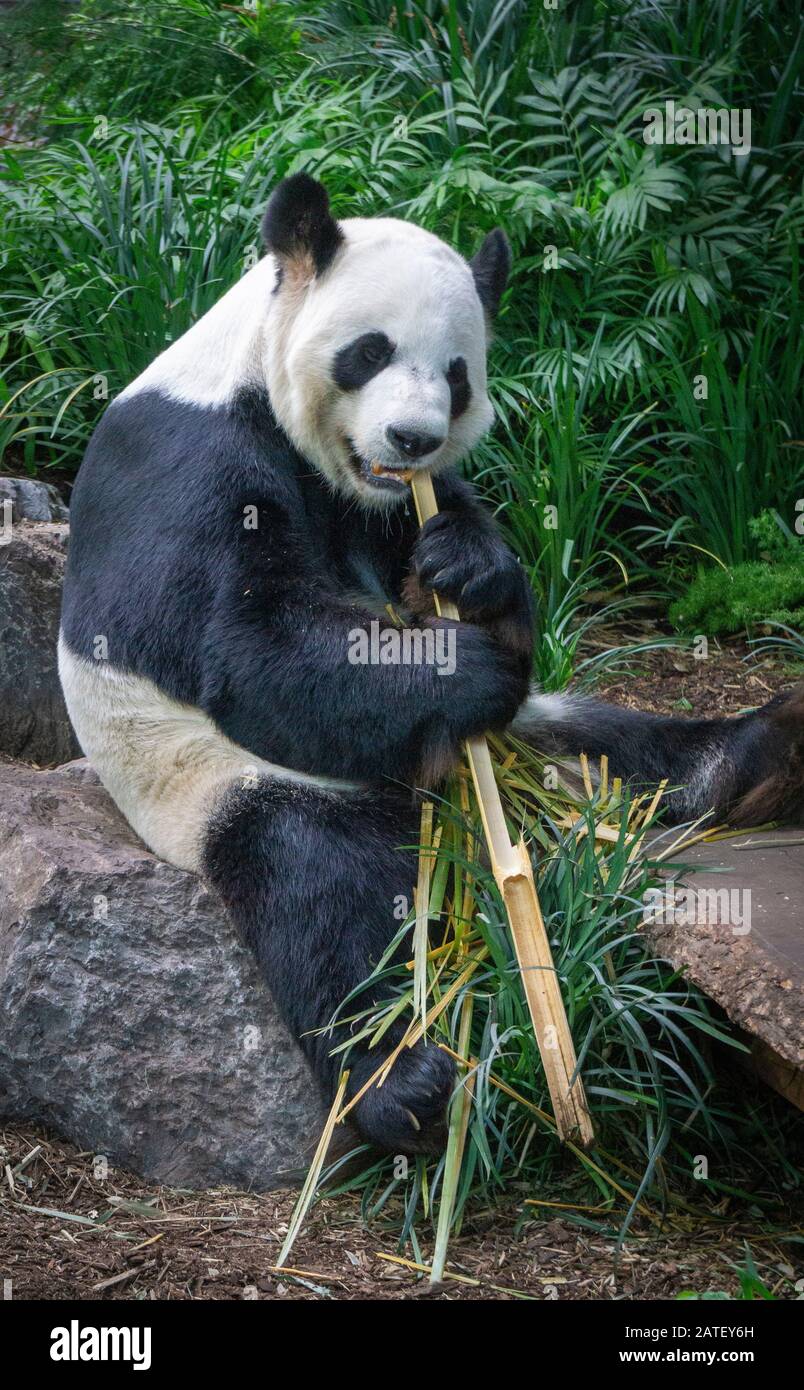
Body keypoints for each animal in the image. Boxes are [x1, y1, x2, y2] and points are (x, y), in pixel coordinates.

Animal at [59, 174, 804, 1153]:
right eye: (370, 352)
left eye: (457, 374)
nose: (412, 438)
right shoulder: (187, 458)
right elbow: (247, 644)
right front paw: (459, 668)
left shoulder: (392, 503)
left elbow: (462, 553)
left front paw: (469, 567)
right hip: (213, 781)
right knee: (317, 879)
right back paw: (401, 1081)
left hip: (548, 735)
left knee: (620, 746)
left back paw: (766, 755)